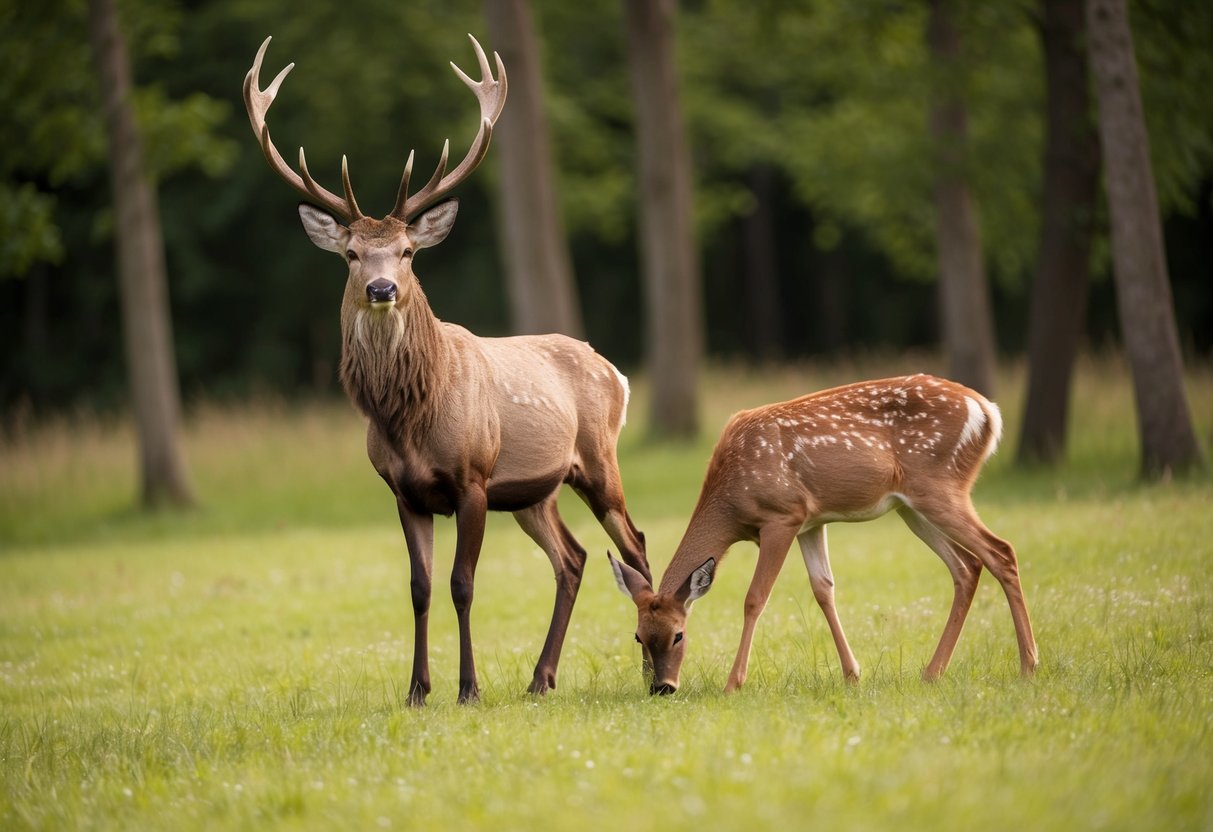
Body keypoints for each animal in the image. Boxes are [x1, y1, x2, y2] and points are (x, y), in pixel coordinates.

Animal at [244, 34, 651, 705]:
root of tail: (614, 371)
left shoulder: (473, 479)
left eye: (408, 251)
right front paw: (416, 690)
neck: (410, 415)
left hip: (598, 459)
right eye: (350, 254)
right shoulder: (403, 491)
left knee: (634, 544)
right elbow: (420, 588)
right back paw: (542, 678)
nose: (381, 288)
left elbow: (463, 584)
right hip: (534, 492)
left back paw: (651, 665)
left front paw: (468, 688)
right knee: (573, 558)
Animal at [609, 374, 1038, 695]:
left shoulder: (783, 516)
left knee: (1000, 551)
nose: (662, 688)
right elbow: (823, 589)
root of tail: (987, 410)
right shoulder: (812, 523)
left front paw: (734, 683)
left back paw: (1028, 665)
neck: (731, 500)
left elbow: (755, 598)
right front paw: (852, 674)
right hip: (911, 507)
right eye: (639, 637)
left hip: (939, 486)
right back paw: (933, 672)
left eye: (678, 635)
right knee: (967, 566)